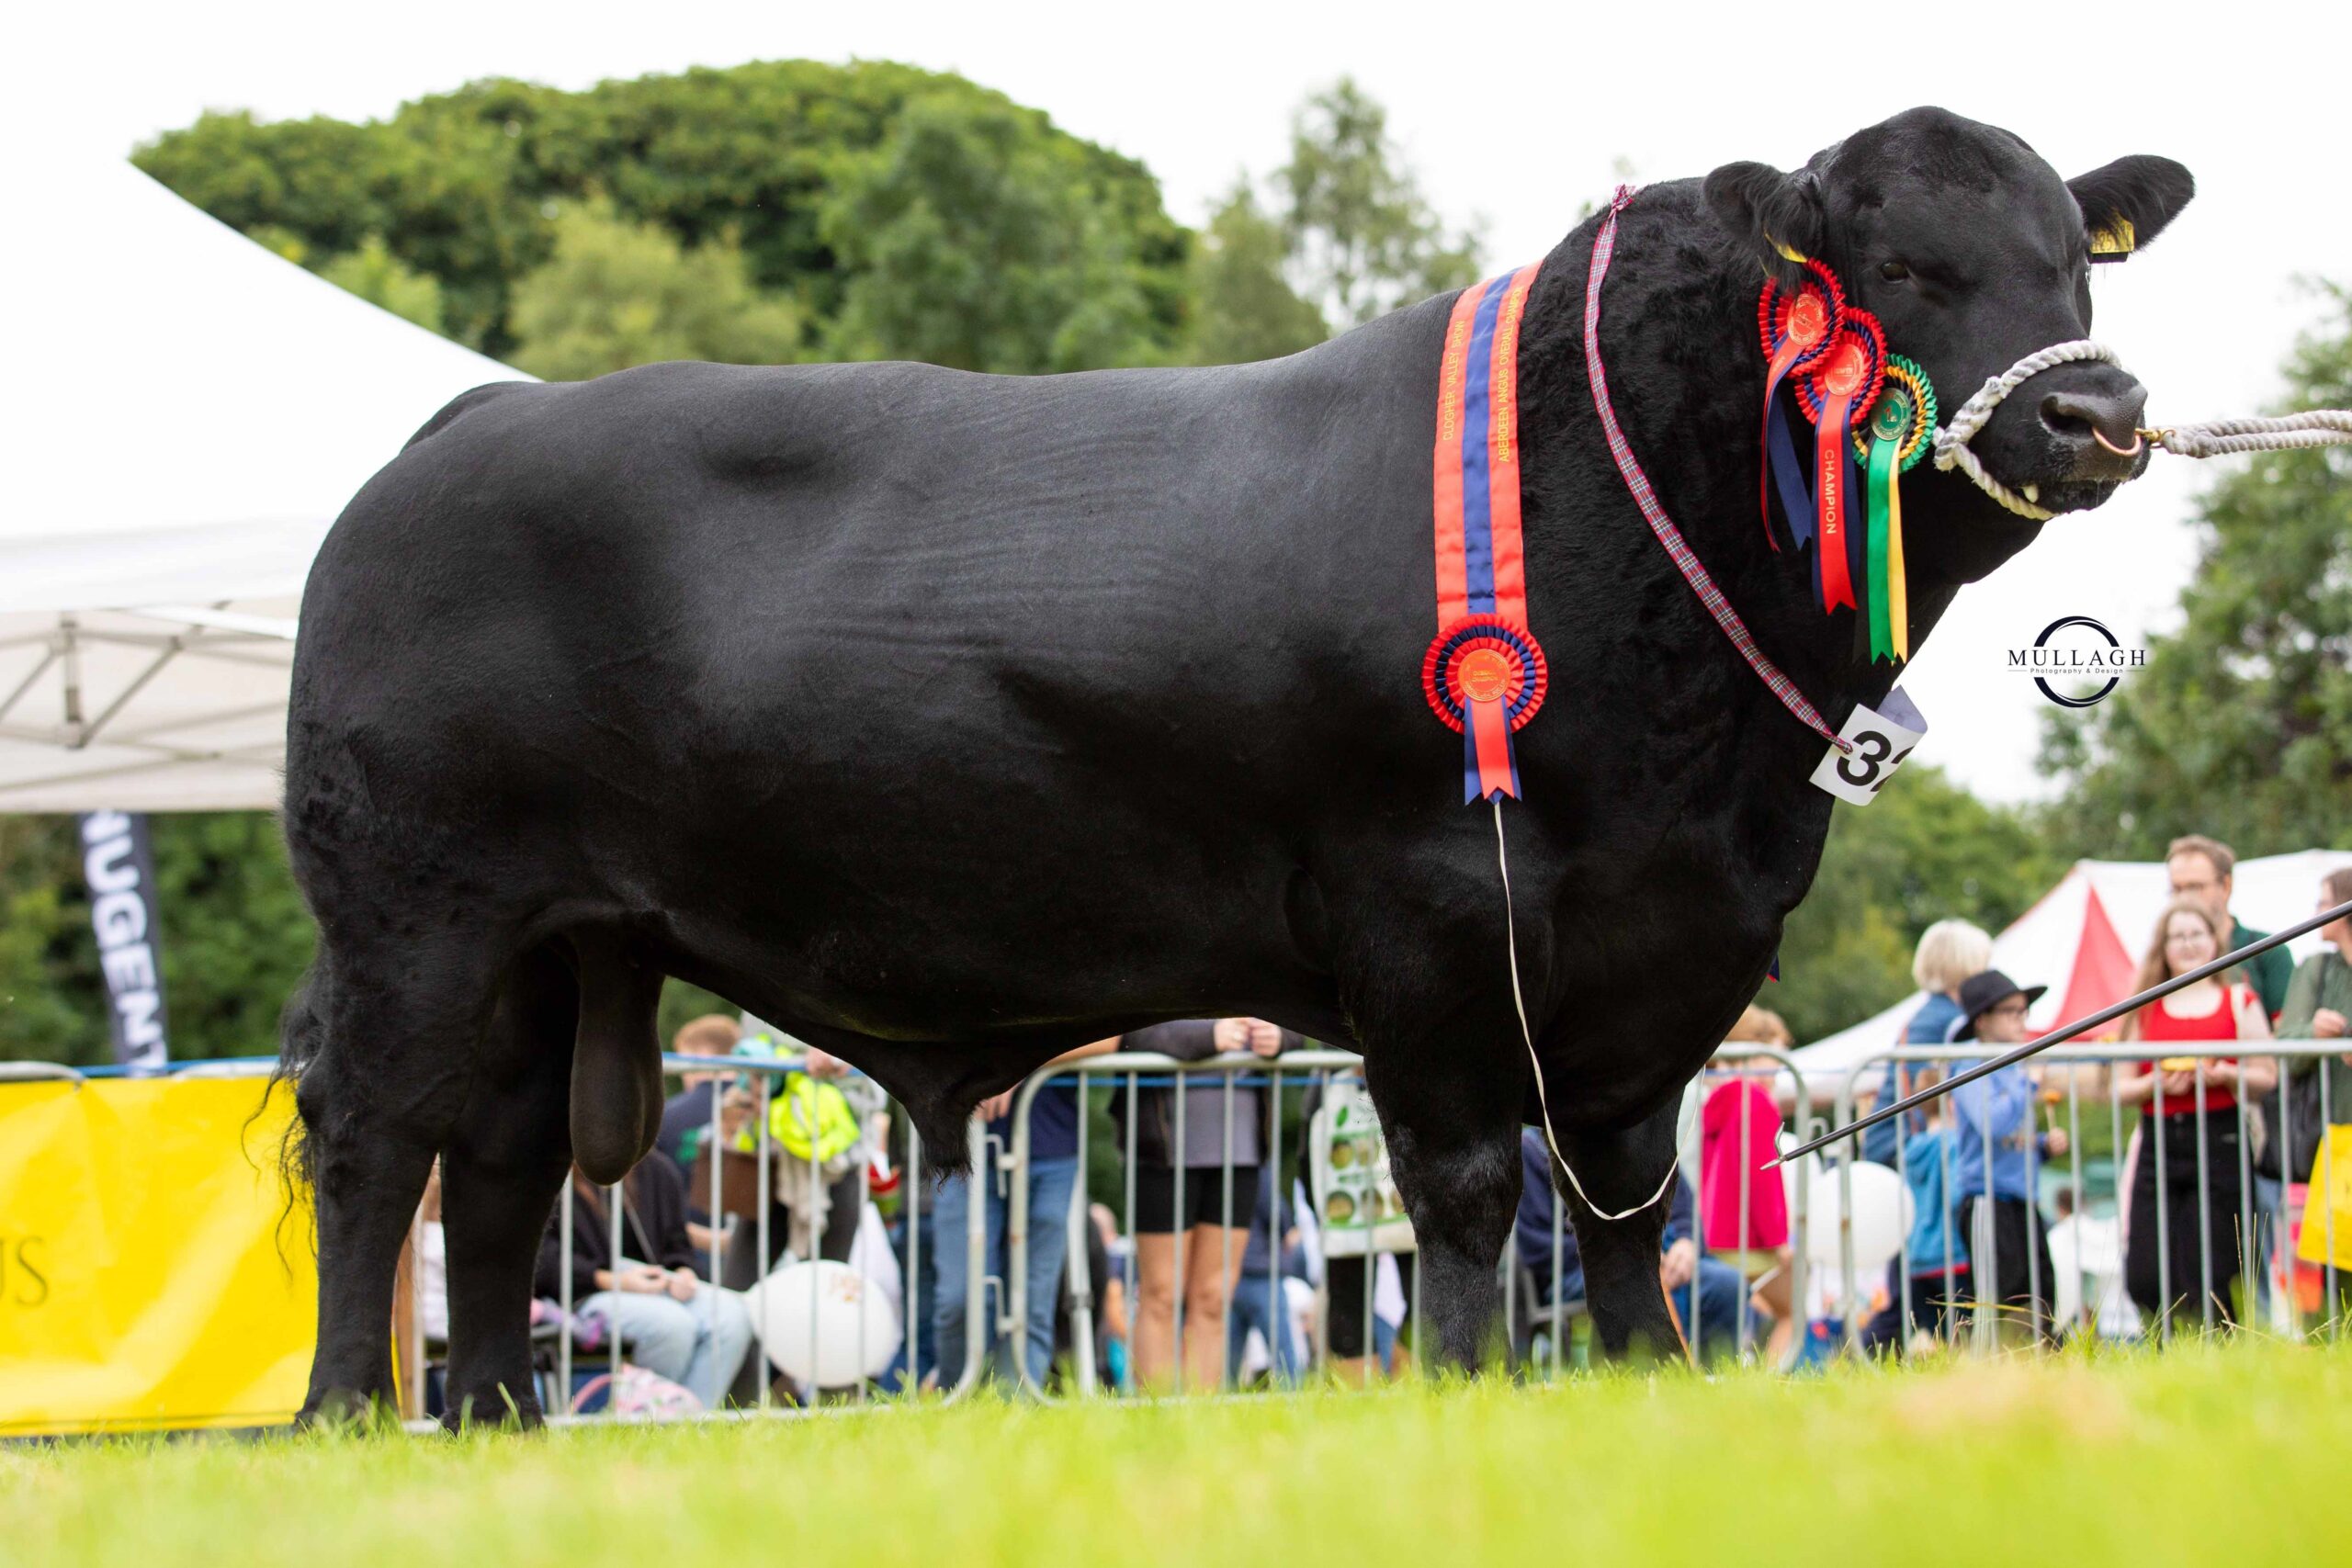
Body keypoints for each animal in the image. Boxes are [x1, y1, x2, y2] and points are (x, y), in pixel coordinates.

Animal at [279, 106, 2192, 1423]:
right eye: (1906, 267)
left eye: (2076, 259)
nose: (2098, 412)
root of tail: (475, 420)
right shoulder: (1431, 913)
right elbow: (1472, 1183)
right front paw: (1472, 1387)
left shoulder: (1667, 940)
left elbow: (1626, 1188)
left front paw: (1647, 1376)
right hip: (417, 915)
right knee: (382, 1144)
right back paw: (353, 1409)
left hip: (551, 943)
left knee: (502, 1162)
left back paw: (497, 1419)